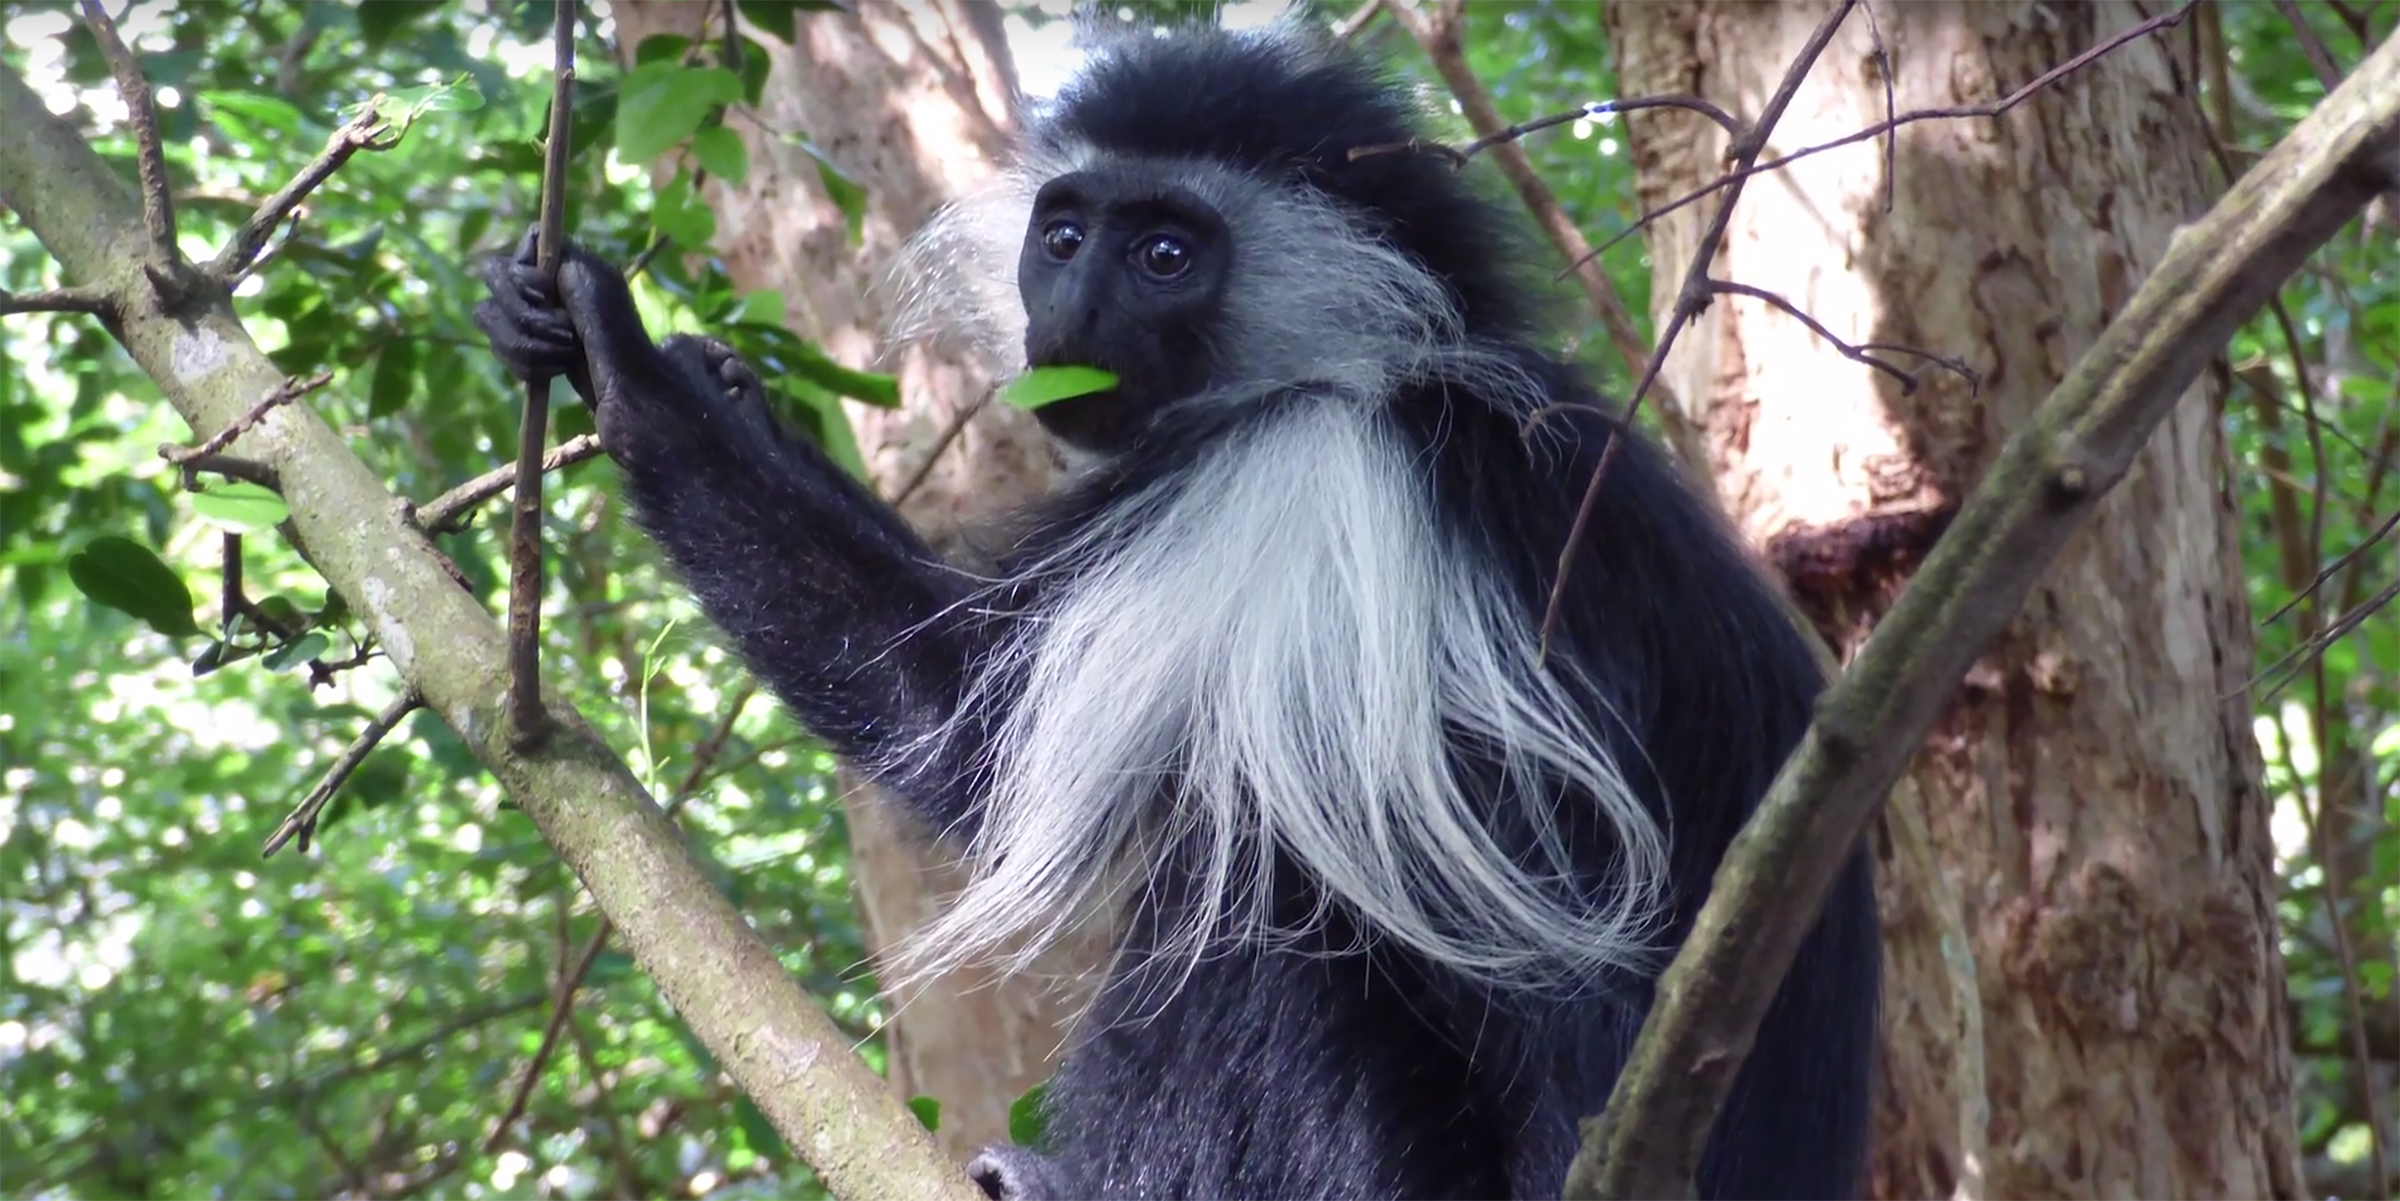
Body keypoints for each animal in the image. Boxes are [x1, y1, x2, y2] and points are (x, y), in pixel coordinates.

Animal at [474, 21, 1878, 1201]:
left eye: (1165, 254)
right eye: (1064, 235)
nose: (1073, 312)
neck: (1389, 360)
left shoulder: (1290, 483)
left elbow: (968, 722)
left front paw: (629, 366)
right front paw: (678, 364)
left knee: (1268, 925)